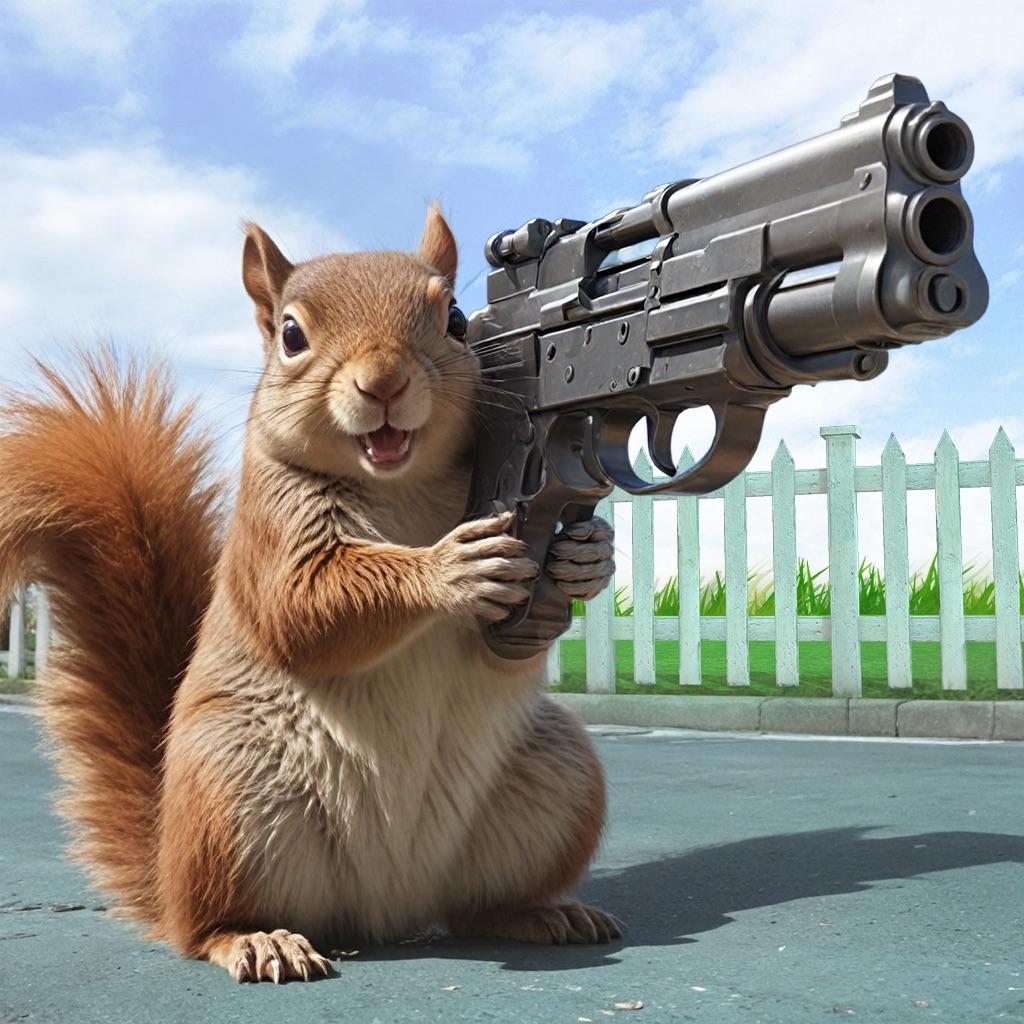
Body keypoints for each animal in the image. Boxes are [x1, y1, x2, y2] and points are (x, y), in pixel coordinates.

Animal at [0, 205, 620, 983]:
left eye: (453, 318)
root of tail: (389, 905)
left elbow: (512, 640)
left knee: (475, 908)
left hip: (559, 778)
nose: (384, 382)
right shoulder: (270, 536)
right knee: (201, 926)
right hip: (228, 792)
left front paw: (587, 558)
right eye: (291, 335)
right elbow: (308, 607)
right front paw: (449, 567)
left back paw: (540, 912)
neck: (401, 483)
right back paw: (257, 938)